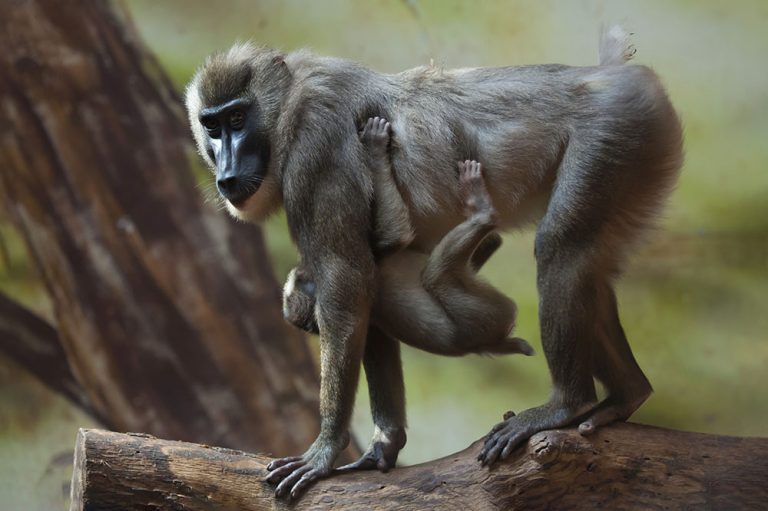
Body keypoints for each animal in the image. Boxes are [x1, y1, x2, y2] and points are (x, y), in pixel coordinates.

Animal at [185, 26, 683, 499]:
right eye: (212, 126)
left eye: (237, 118)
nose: (226, 174)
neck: (290, 105)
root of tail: (618, 76)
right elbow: (370, 294)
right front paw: (384, 445)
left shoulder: (316, 149)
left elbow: (346, 283)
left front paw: (323, 452)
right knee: (591, 271)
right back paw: (627, 393)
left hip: (610, 142)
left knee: (561, 251)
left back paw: (564, 405)